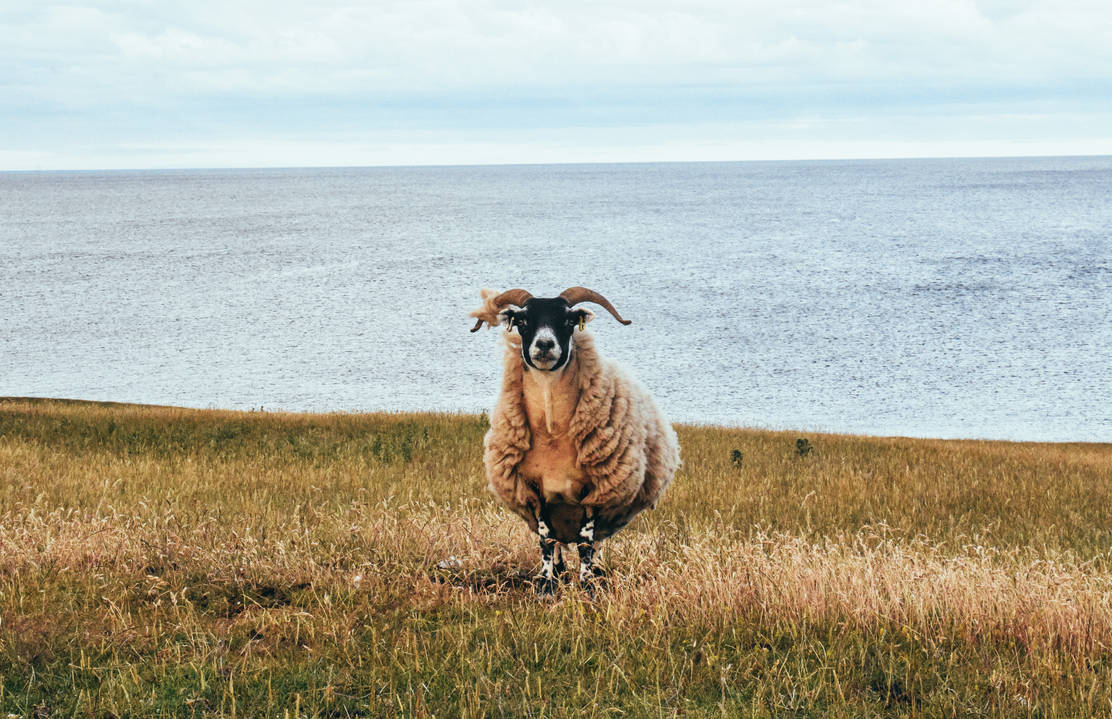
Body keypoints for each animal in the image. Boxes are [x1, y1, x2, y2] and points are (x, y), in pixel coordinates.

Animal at [469, 286, 681, 594]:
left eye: (568, 321)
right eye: (523, 321)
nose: (545, 345)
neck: (552, 430)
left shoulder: (595, 491)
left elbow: (585, 542)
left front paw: (588, 586)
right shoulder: (535, 492)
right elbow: (546, 541)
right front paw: (546, 585)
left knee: (597, 542)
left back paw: (598, 574)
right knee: (557, 542)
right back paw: (559, 573)